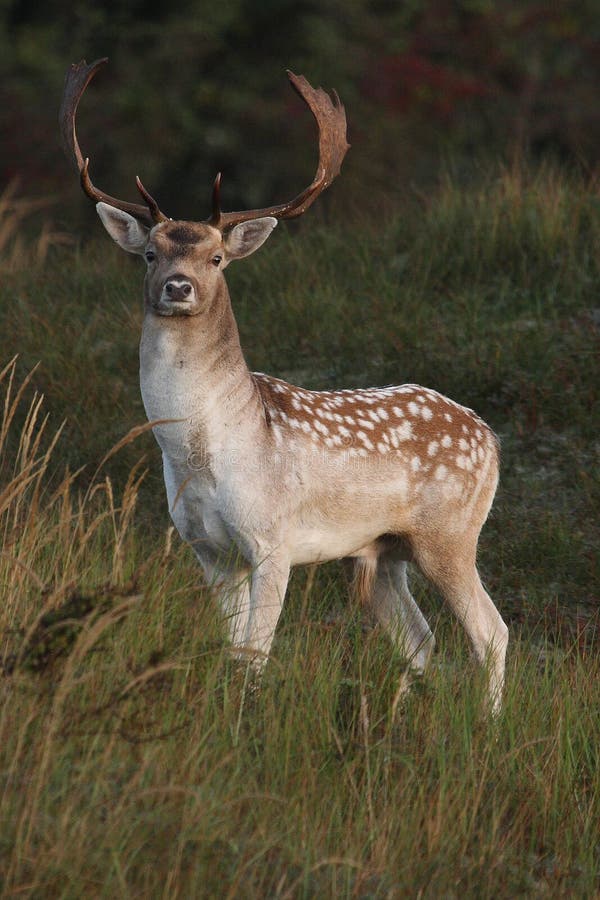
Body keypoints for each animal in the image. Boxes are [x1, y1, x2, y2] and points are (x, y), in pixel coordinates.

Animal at [60, 58, 508, 713]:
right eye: (148, 254)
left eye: (217, 259)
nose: (177, 287)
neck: (199, 451)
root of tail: (491, 437)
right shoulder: (208, 550)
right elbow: (229, 649)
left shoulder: (273, 540)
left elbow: (254, 654)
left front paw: (244, 719)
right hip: (380, 550)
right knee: (419, 639)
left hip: (450, 533)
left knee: (490, 632)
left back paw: (488, 723)